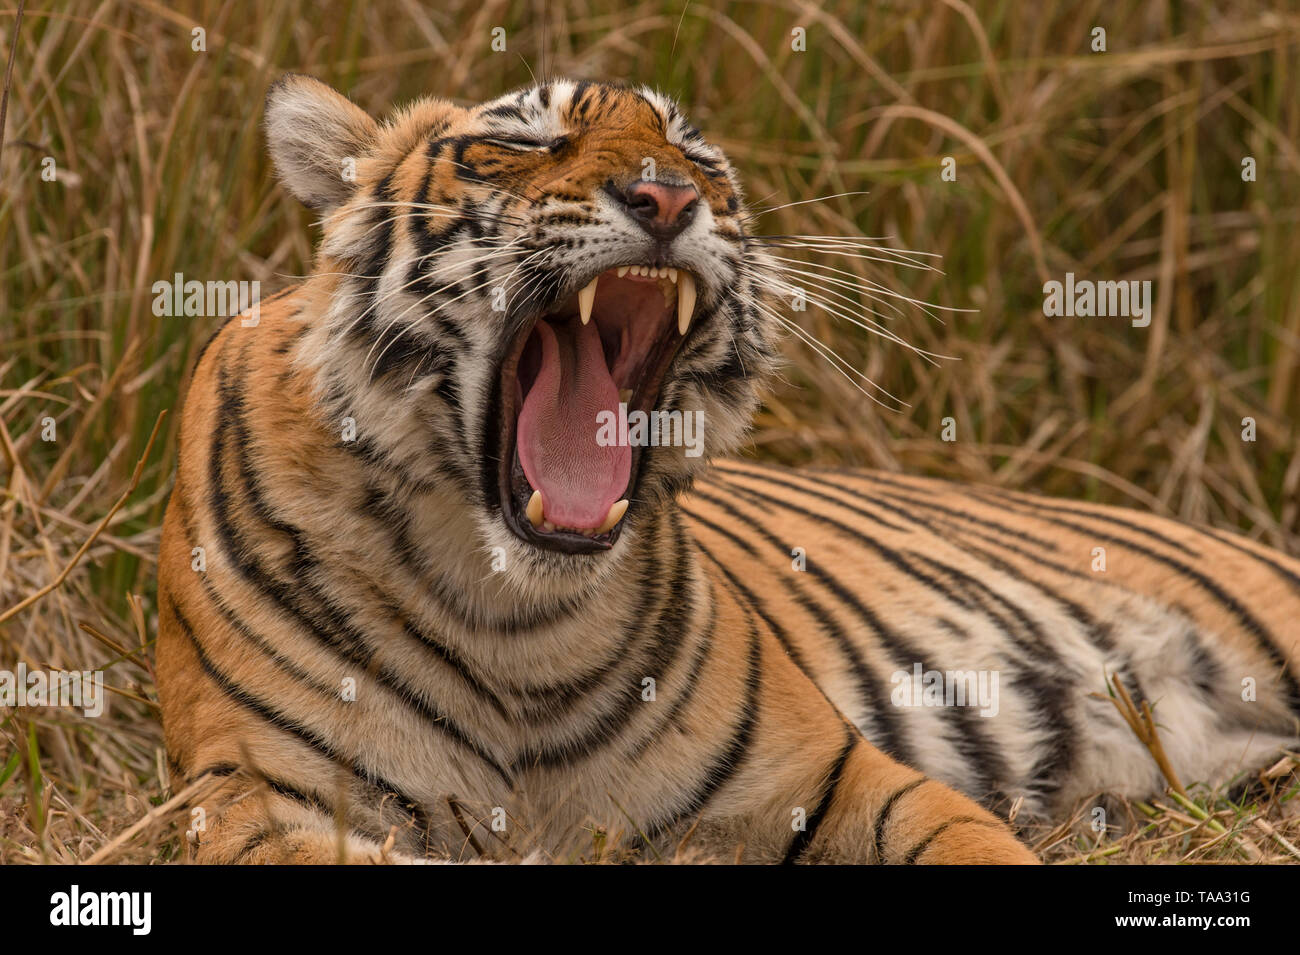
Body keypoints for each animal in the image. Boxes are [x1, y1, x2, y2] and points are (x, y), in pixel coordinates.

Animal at [155, 74, 1300, 865]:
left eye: (696, 156)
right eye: (517, 142)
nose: (665, 198)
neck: (514, 615)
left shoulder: (834, 776)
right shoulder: (269, 801)